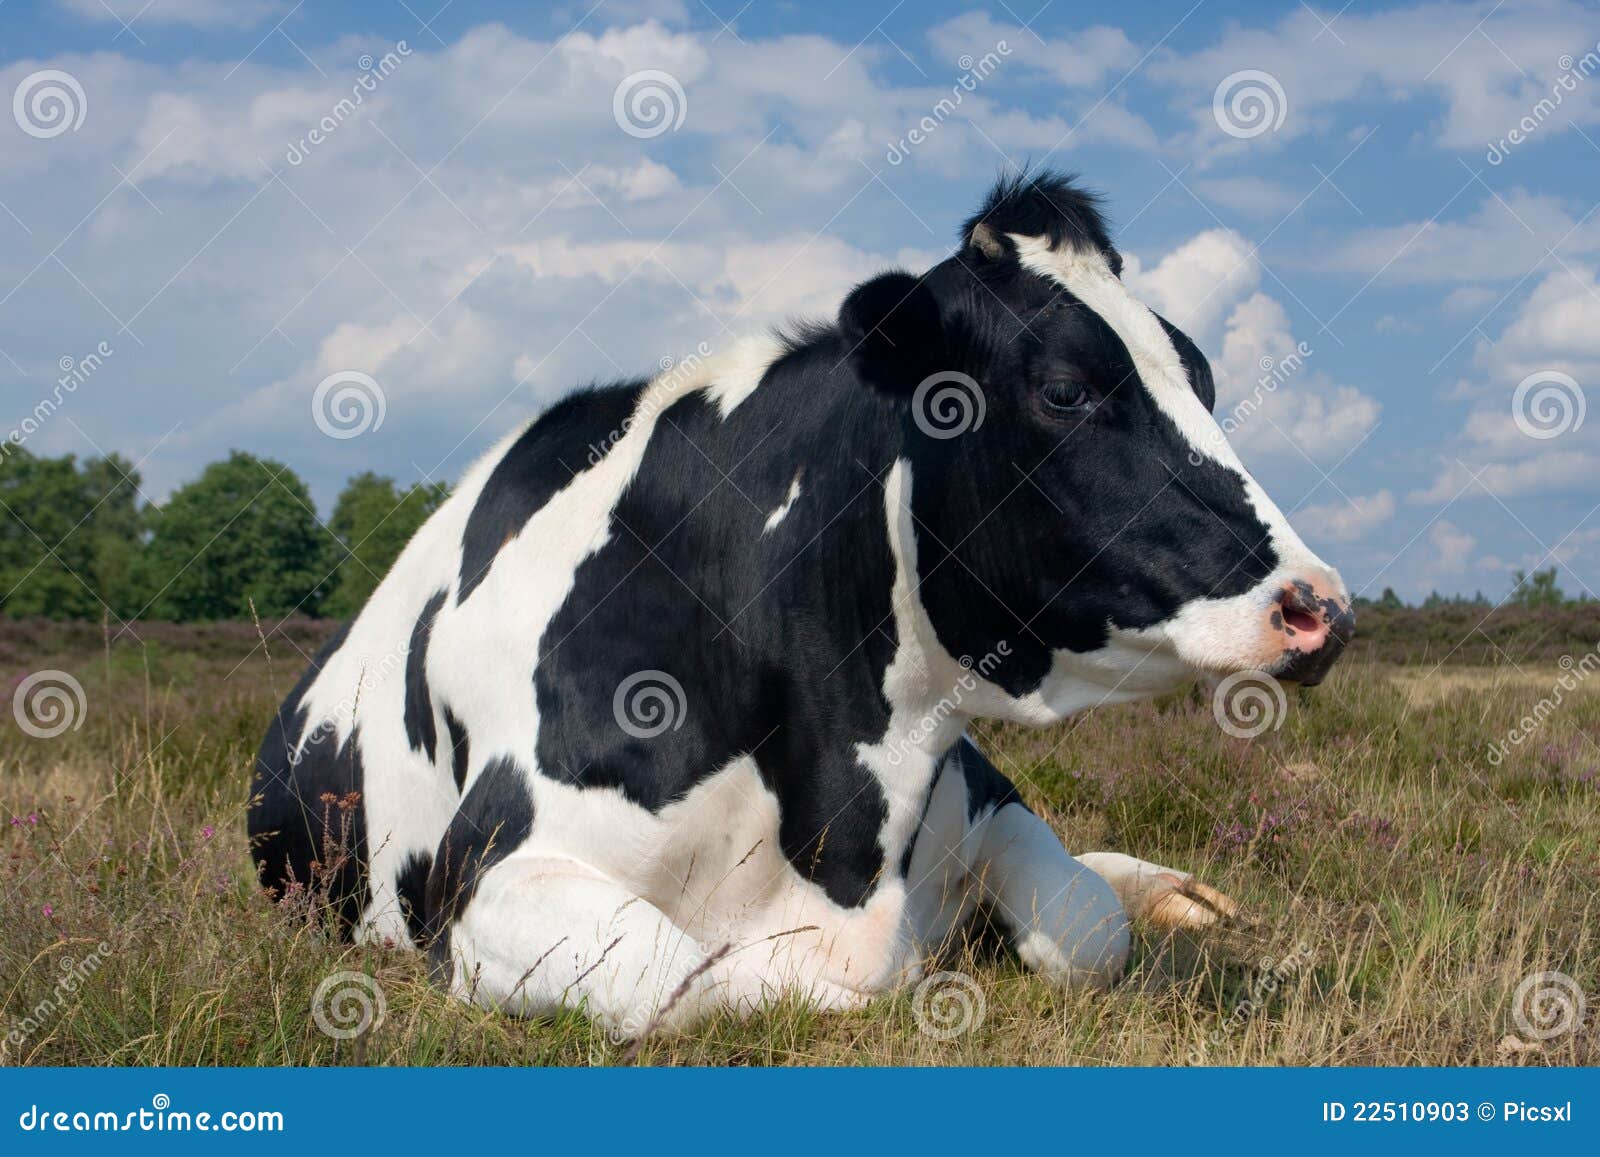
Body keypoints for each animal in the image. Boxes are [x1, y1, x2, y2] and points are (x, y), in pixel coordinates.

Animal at [250, 171, 1353, 1036]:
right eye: (1066, 389)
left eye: (1201, 377)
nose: (1321, 607)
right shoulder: (490, 871)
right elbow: (695, 975)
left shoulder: (978, 784)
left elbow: (1087, 925)